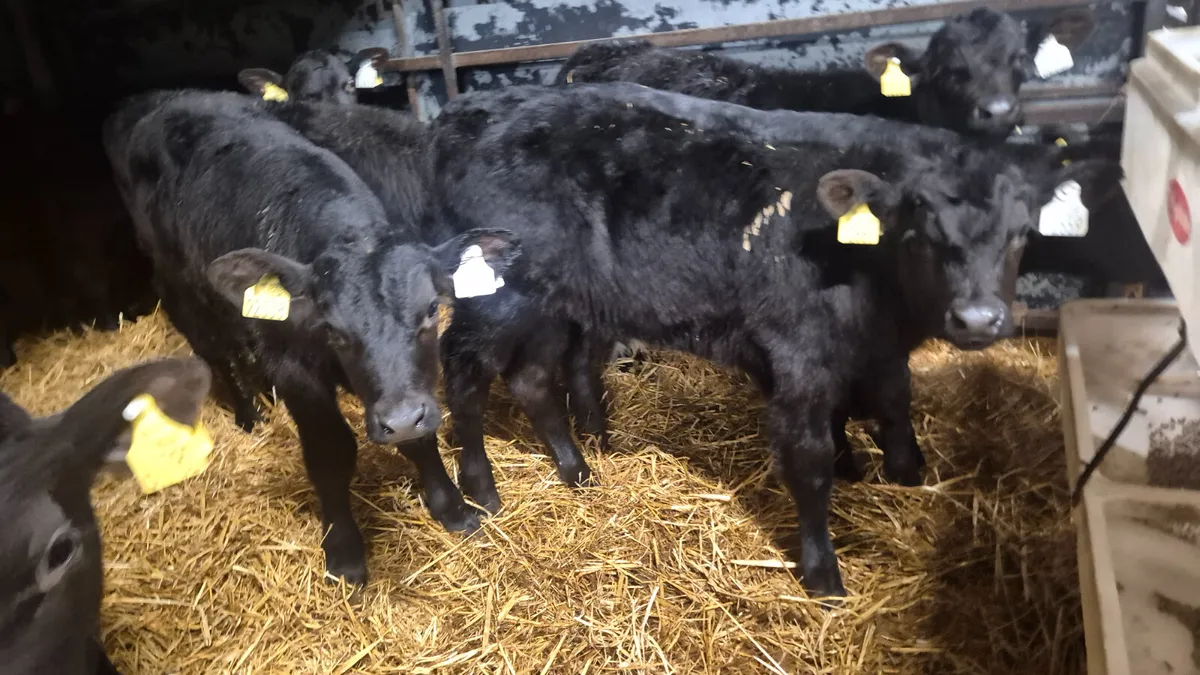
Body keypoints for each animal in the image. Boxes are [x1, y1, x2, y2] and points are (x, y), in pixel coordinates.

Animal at [102, 90, 521, 585]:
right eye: (333, 329)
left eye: (431, 310)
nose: (399, 420)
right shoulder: (295, 369)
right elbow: (330, 452)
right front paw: (344, 552)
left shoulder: (407, 393)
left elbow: (421, 437)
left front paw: (452, 508)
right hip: (178, 283)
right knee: (213, 347)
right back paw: (247, 412)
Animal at [422, 84, 1119, 597]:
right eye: (919, 232)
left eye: (1021, 233)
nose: (978, 319)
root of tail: (470, 109)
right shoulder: (799, 353)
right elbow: (809, 459)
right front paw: (822, 571)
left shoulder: (875, 349)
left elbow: (894, 408)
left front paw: (901, 476)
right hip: (499, 296)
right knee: (463, 371)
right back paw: (479, 490)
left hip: (556, 303)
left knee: (536, 377)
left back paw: (577, 469)